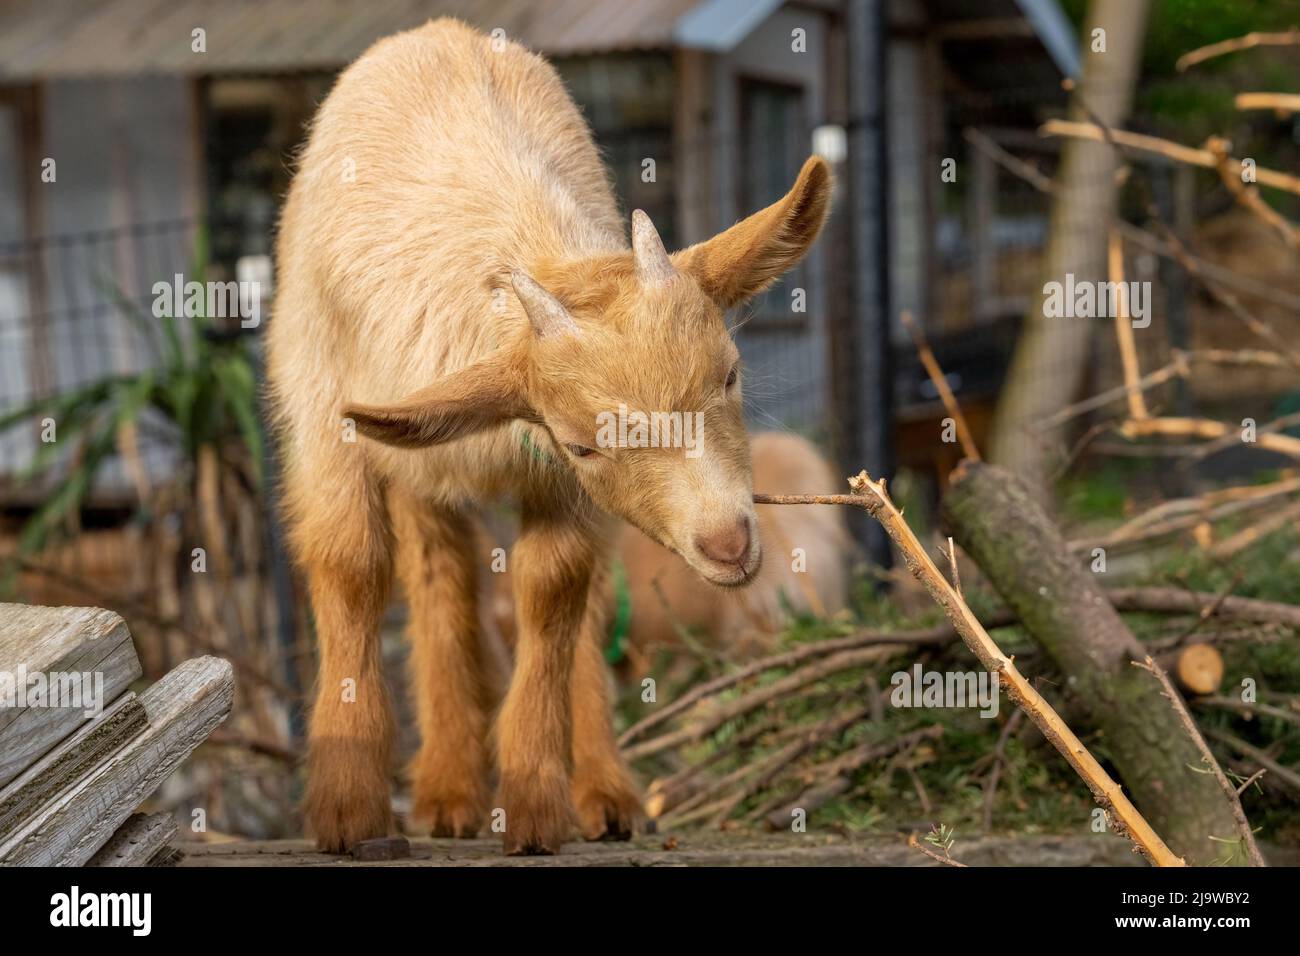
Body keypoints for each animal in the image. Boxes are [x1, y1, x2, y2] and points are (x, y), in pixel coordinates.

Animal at [266, 18, 832, 855]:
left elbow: (554, 590)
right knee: (438, 572)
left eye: (730, 373)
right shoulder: (326, 414)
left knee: (570, 594)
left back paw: (600, 793)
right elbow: (350, 566)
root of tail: (437, 29)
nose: (729, 542)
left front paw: (535, 806)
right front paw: (344, 807)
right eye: (584, 440)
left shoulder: (557, 486)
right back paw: (447, 791)